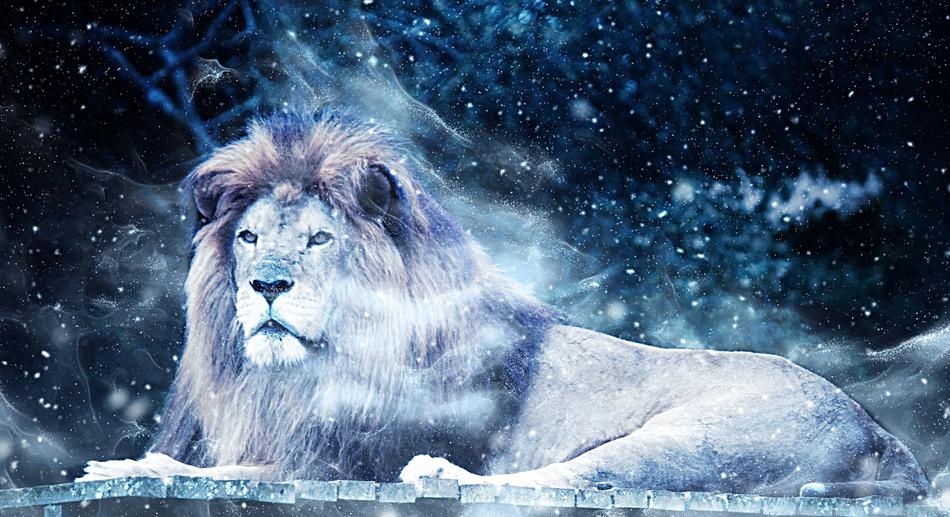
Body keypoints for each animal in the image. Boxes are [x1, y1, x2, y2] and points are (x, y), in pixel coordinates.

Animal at [80, 110, 928, 501]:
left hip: (692, 437)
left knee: (565, 480)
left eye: (319, 239)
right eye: (250, 237)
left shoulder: (336, 460)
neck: (303, 371)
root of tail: (880, 431)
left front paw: (125, 461)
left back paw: (434, 472)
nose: (267, 286)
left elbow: (225, 468)